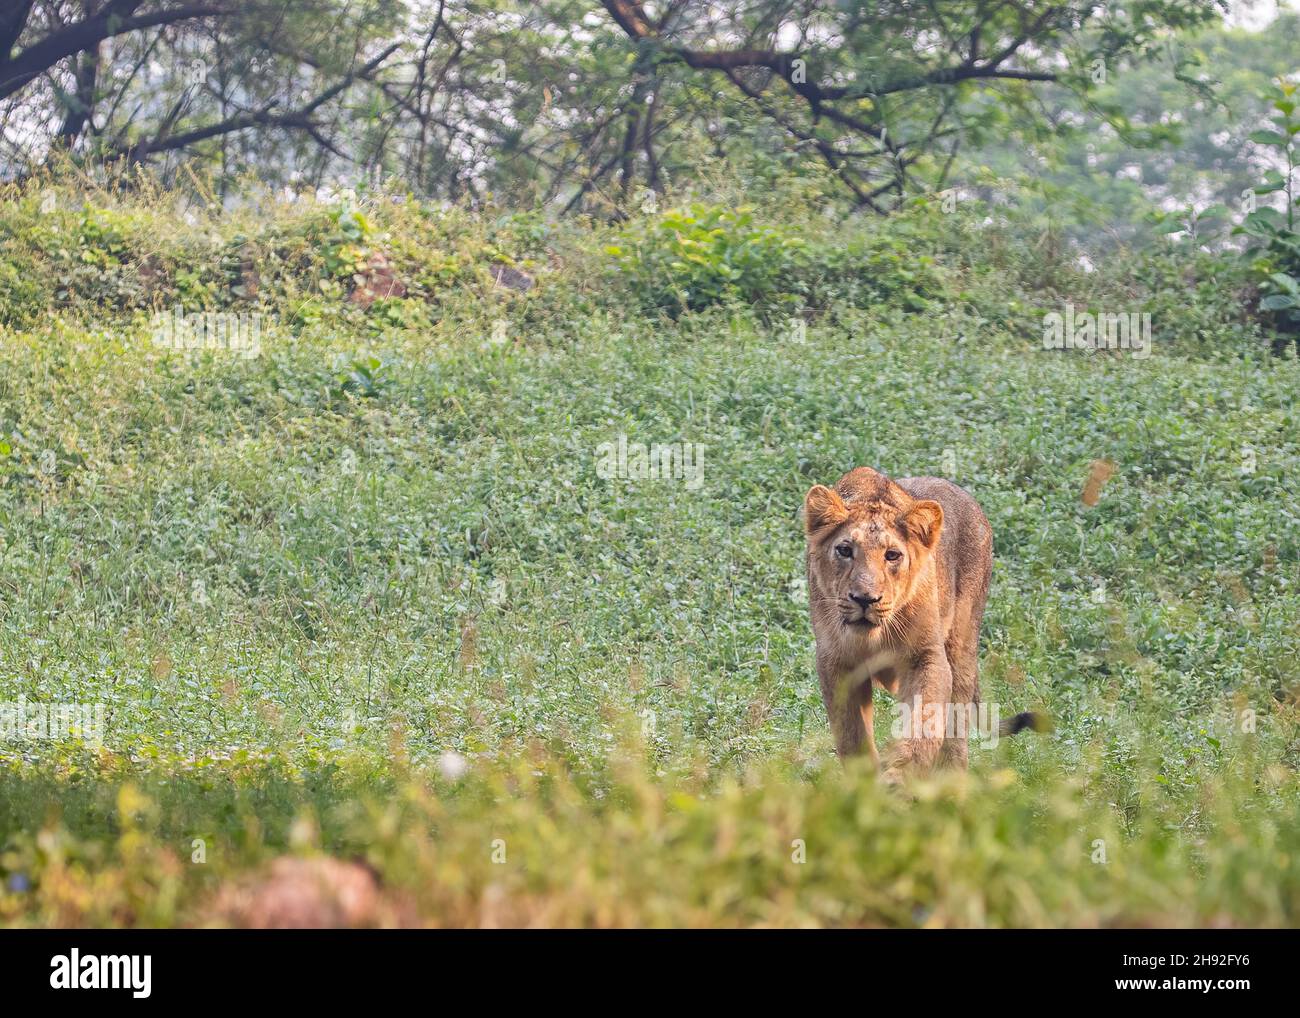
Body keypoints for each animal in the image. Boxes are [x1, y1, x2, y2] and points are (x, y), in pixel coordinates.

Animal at [804, 466, 1039, 780]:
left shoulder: (925, 656)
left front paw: (900, 775)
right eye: (845, 550)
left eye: (892, 555)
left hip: (961, 647)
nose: (865, 599)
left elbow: (926, 719)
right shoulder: (837, 662)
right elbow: (852, 735)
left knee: (956, 727)